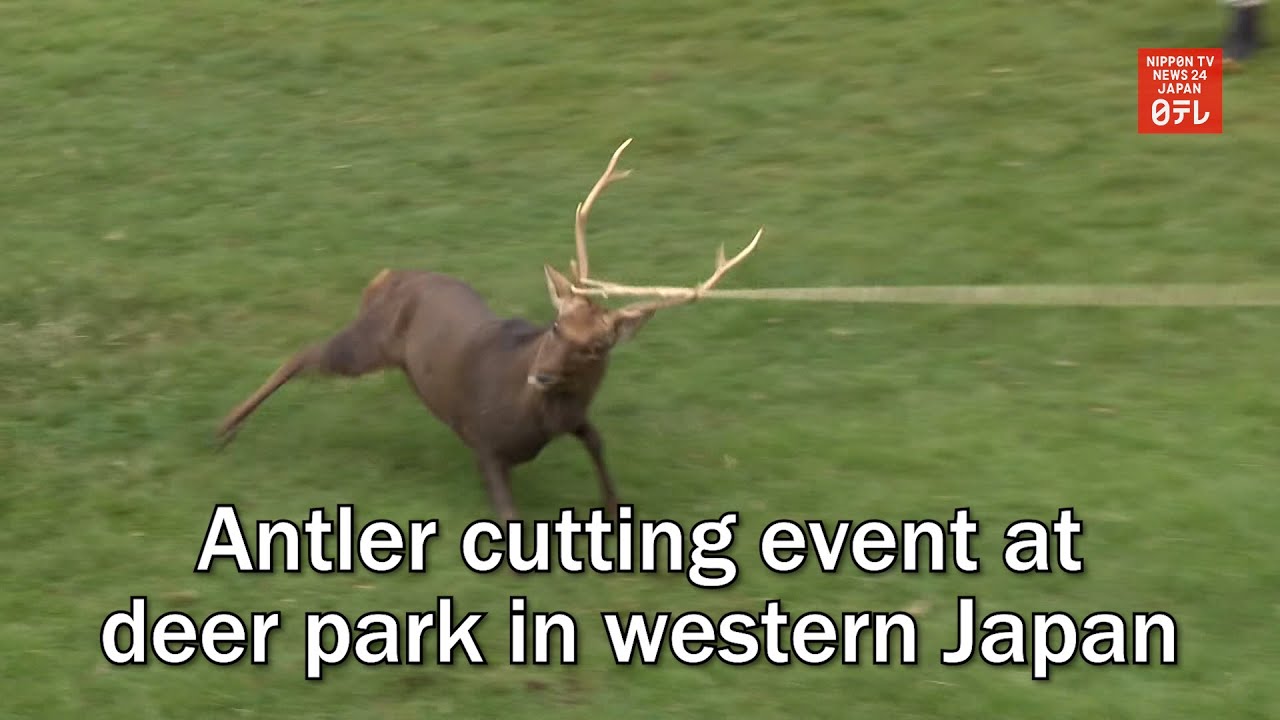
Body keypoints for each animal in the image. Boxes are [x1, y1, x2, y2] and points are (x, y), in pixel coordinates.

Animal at [214, 138, 763, 522]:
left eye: (596, 346)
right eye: (556, 326)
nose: (543, 376)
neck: (534, 418)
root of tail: (386, 277)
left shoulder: (573, 417)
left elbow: (597, 440)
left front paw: (614, 508)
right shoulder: (484, 440)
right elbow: (510, 515)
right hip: (367, 341)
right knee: (304, 354)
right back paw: (225, 428)